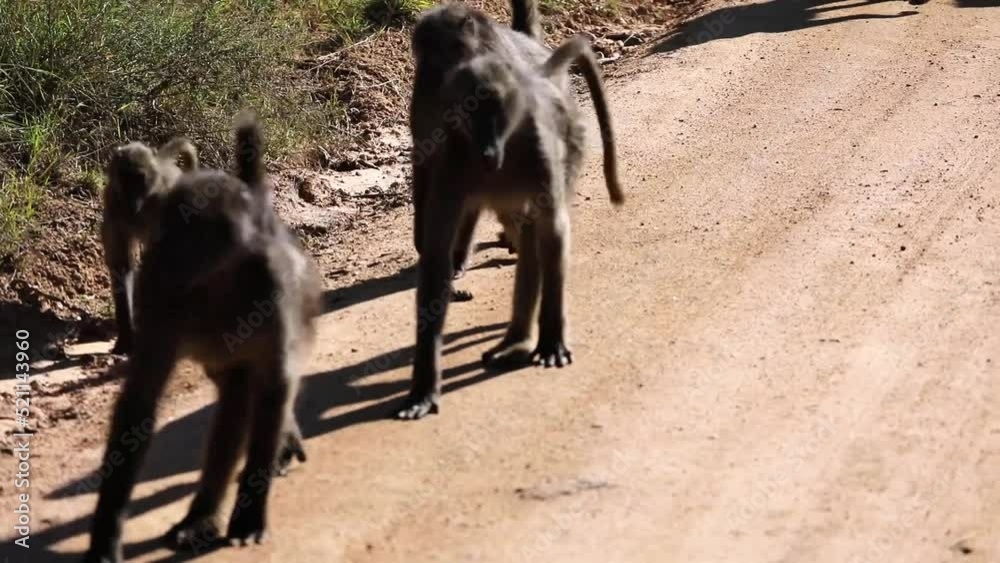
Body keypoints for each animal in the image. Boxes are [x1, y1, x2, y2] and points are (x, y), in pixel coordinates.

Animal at [102, 137, 198, 355]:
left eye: (139, 179)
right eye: (125, 177)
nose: (131, 204)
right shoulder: (114, 206)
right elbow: (122, 266)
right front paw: (125, 339)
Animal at [399, 3, 623, 420]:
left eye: (454, 49)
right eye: (427, 58)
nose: (442, 83)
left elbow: (551, 230)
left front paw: (552, 339)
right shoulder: (439, 128)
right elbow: (434, 249)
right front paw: (423, 387)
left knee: (537, 237)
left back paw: (523, 335)